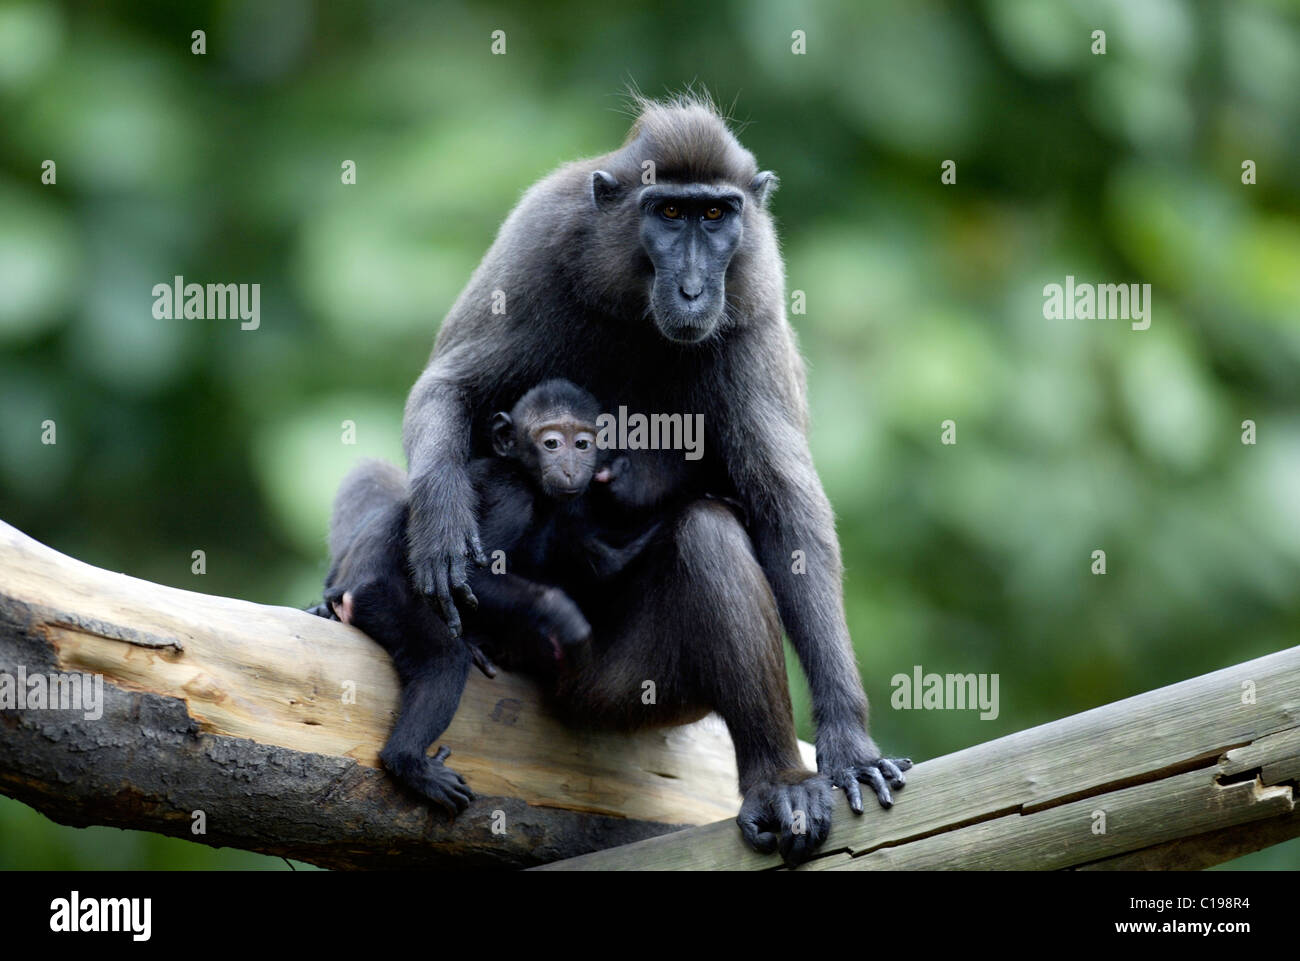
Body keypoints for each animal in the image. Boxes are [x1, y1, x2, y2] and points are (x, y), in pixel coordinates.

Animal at [334, 93, 909, 865]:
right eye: (667, 213)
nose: (693, 290)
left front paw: (850, 743)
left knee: (708, 534)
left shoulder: (755, 295)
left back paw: (779, 785)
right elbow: (449, 386)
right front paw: (441, 527)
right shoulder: (540, 235)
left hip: (626, 691)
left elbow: (787, 513)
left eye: (715, 215)